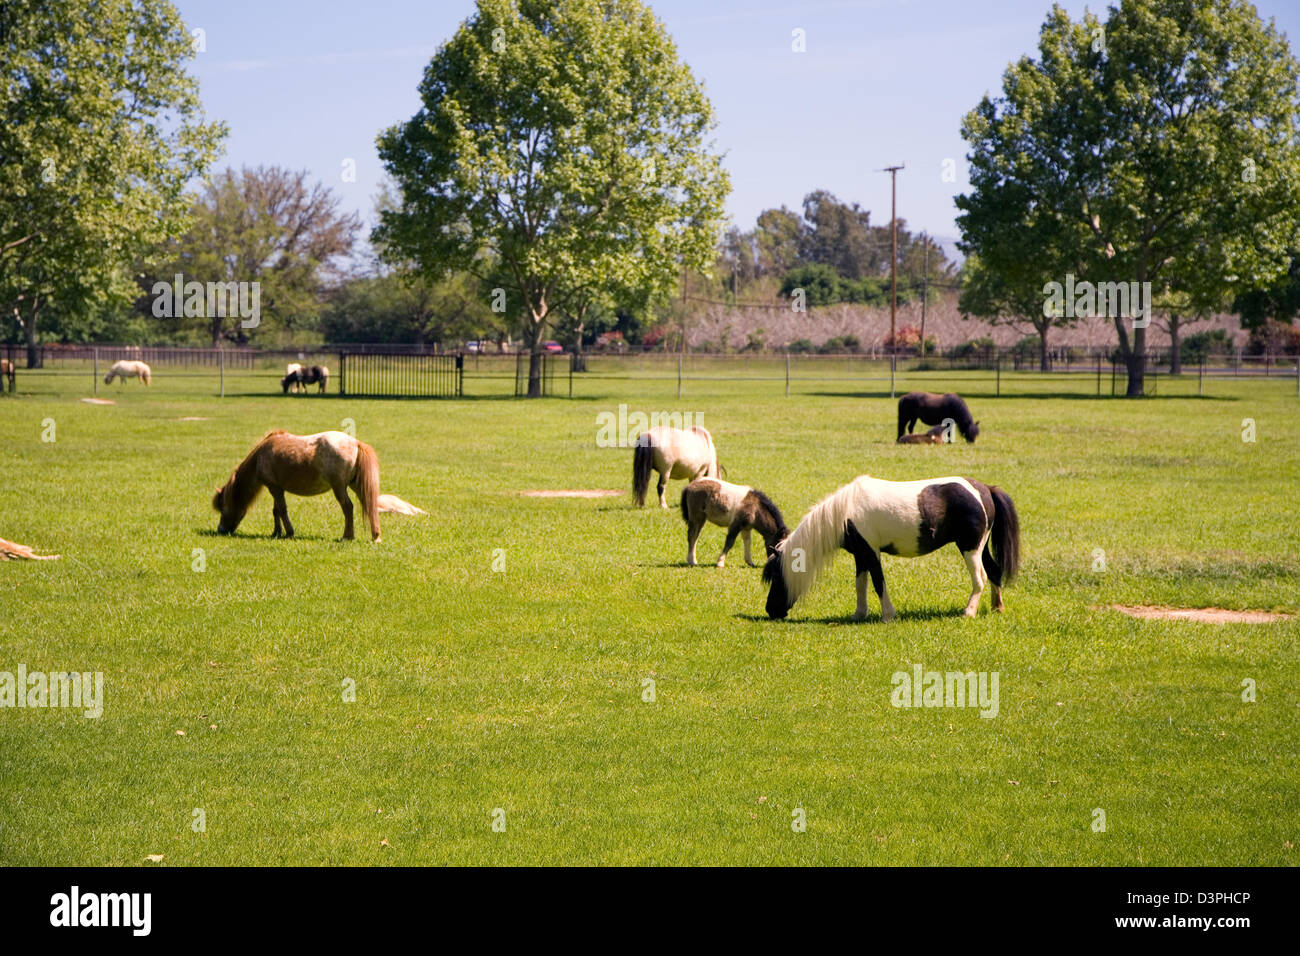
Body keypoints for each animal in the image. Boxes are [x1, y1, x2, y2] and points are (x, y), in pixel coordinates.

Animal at [212, 430, 381, 541]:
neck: (260, 456)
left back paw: (347, 536)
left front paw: (289, 532)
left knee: (348, 507)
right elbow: (276, 511)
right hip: (356, 485)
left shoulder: (274, 488)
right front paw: (276, 532)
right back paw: (375, 536)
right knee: (369, 505)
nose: (220, 530)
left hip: (339, 487)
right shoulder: (277, 488)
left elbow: (282, 509)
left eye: (223, 508)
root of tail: (355, 443)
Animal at [763, 474, 1020, 621]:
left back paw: (969, 612)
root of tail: (985, 489)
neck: (844, 513)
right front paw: (859, 614)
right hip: (979, 547)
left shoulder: (871, 552)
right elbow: (861, 584)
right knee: (994, 571)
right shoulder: (860, 555)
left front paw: (888, 615)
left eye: (775, 576)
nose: (770, 610)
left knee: (980, 578)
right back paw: (997, 608)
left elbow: (878, 583)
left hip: (969, 548)